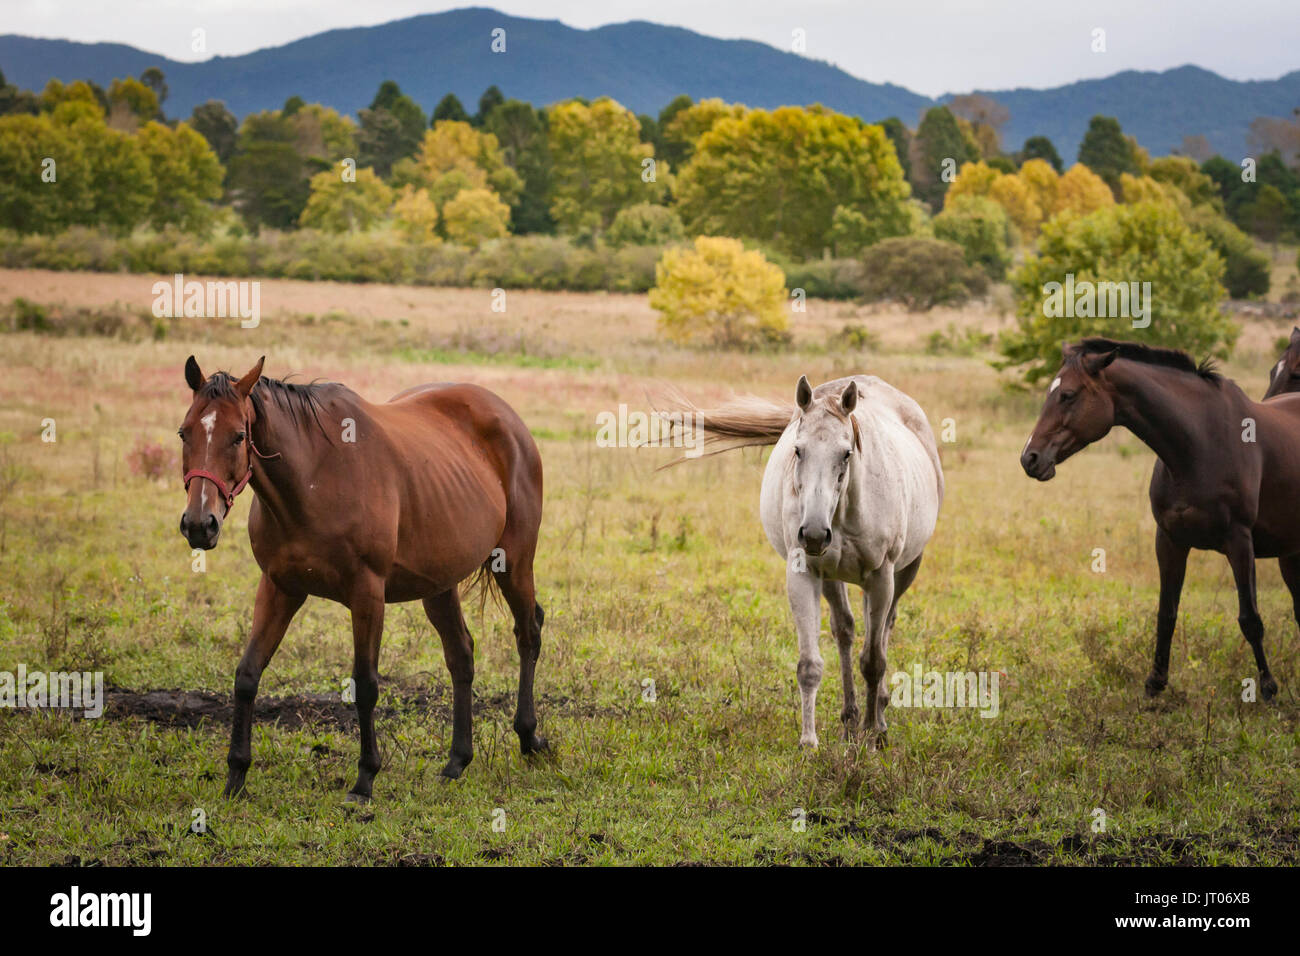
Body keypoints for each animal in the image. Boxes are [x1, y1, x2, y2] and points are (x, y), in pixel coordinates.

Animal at [177, 356, 548, 801]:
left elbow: (366, 684)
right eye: (184, 432)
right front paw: (236, 774)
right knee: (461, 655)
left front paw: (365, 778)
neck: (315, 476)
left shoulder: (367, 593)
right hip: (439, 584)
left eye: (237, 437)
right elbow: (248, 675)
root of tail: (509, 419)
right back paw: (457, 761)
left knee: (528, 633)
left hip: (514, 563)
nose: (200, 525)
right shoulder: (279, 588)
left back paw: (529, 737)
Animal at [665, 375, 944, 748]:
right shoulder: (804, 573)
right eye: (798, 450)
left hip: (903, 573)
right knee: (845, 631)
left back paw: (878, 722)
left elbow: (874, 661)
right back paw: (849, 723)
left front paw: (872, 737)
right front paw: (809, 742)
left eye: (846, 453)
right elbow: (809, 664)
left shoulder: (881, 575)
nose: (813, 534)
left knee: (884, 629)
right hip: (833, 578)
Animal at [1020, 338, 1300, 701]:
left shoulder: (1240, 541)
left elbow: (1250, 618)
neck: (1199, 445)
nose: (1029, 458)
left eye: (1067, 394)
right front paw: (1155, 683)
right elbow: (1166, 614)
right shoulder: (1169, 540)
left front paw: (1267, 687)